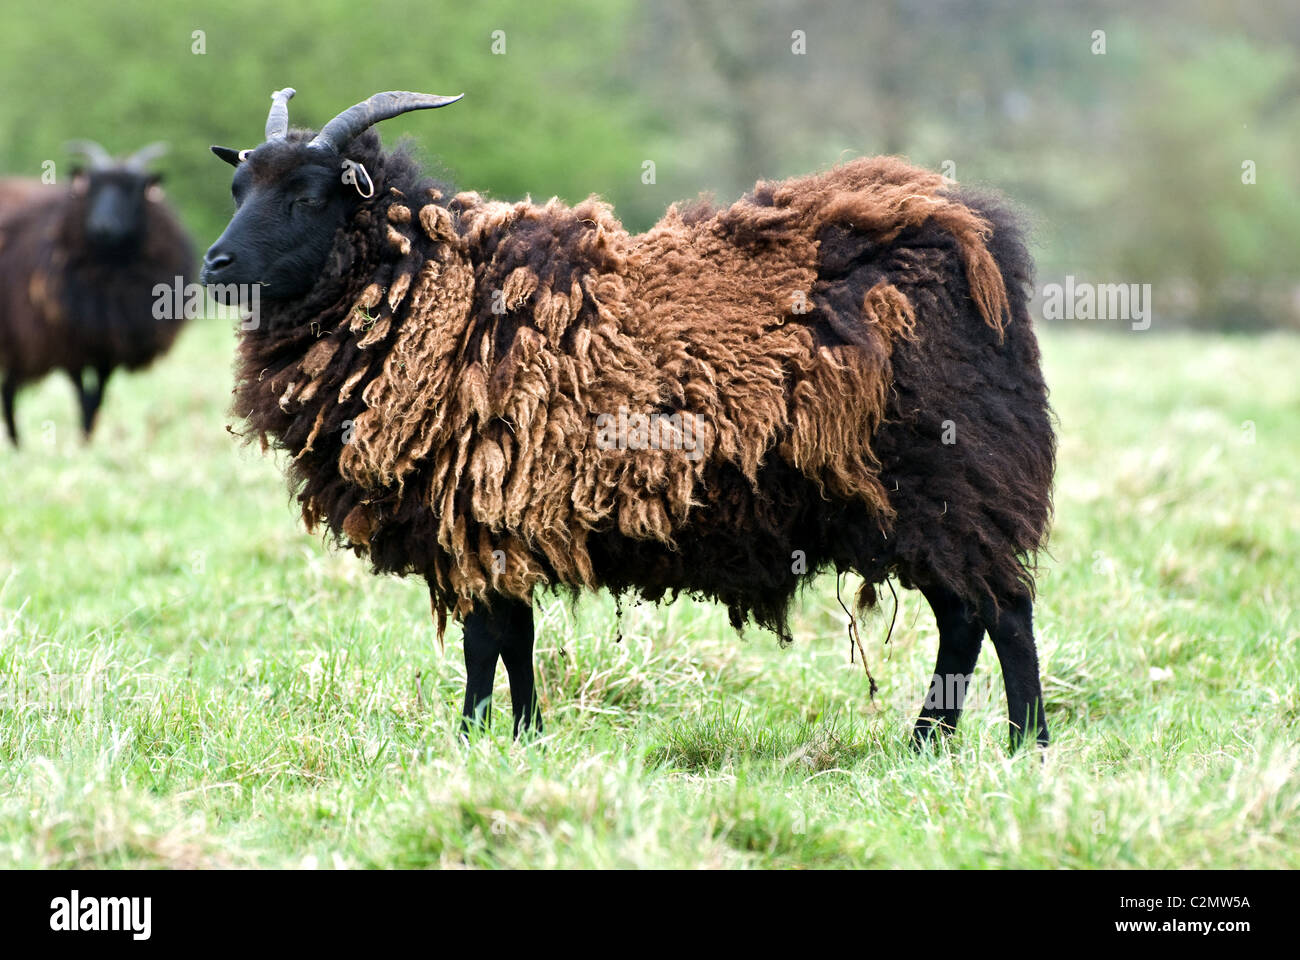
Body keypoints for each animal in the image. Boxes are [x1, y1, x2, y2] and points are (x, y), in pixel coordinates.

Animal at [0, 142, 195, 444]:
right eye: (92, 187)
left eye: (134, 189)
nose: (103, 226)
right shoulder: (69, 345)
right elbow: (83, 396)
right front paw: (82, 442)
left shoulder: (108, 347)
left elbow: (97, 398)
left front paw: (86, 438)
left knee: (7, 390)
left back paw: (17, 444)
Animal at [202, 89, 1055, 749]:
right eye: (238, 187)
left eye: (309, 195)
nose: (214, 264)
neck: (432, 286)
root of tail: (973, 237)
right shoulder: (497, 513)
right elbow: (514, 641)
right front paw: (522, 739)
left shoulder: (479, 505)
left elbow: (485, 645)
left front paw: (475, 740)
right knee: (965, 618)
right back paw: (927, 746)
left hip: (955, 477)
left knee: (1002, 613)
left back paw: (1026, 749)